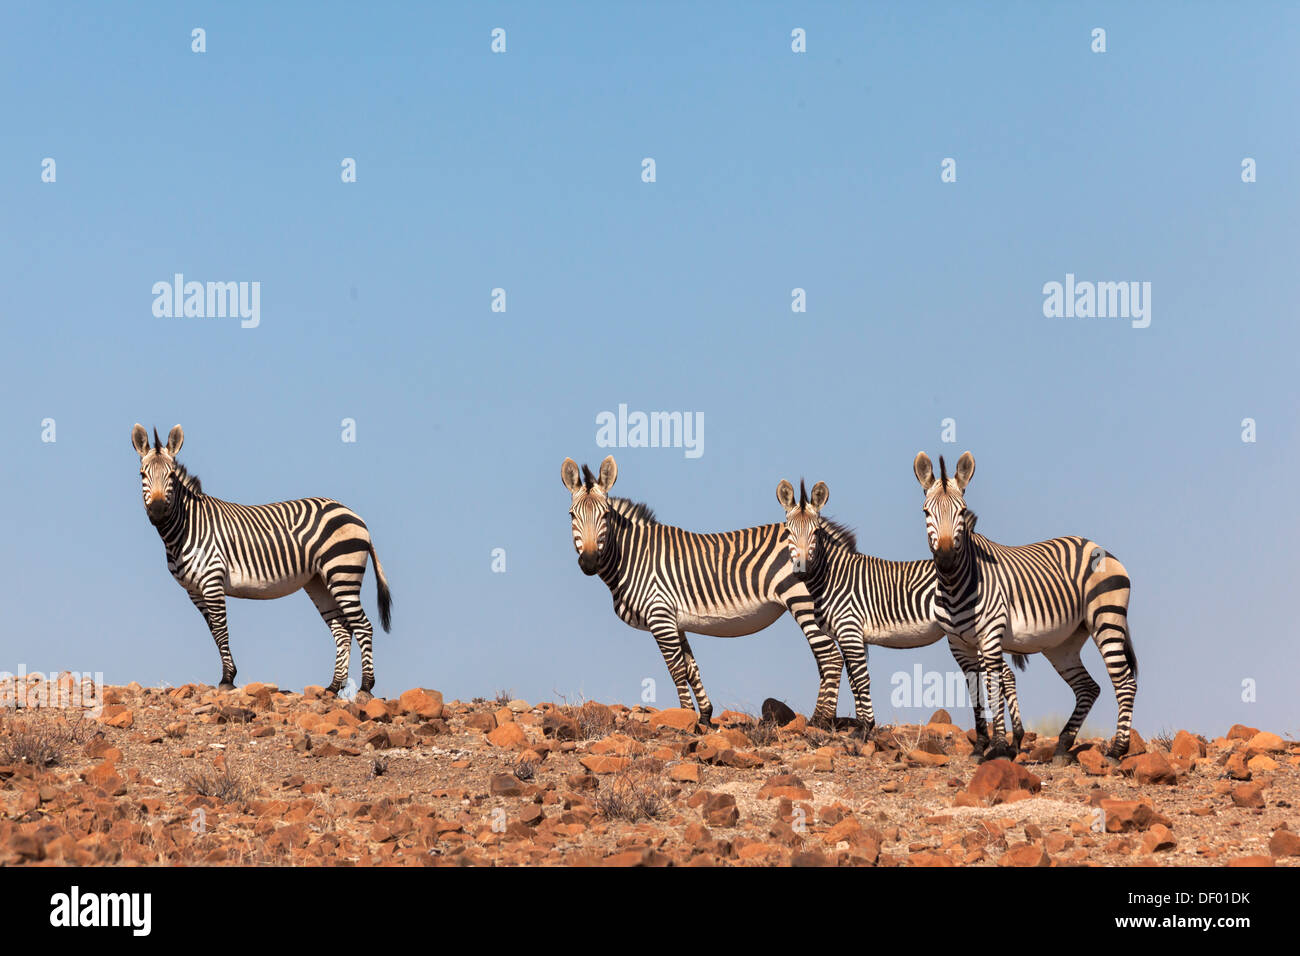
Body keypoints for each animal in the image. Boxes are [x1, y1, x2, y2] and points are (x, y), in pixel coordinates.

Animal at [132, 424, 392, 696]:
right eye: (142, 474)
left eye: (171, 476)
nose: (157, 511)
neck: (186, 527)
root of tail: (353, 514)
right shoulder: (193, 590)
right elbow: (214, 630)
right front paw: (229, 673)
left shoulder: (212, 581)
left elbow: (221, 630)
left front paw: (227, 678)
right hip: (320, 581)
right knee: (342, 630)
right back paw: (332, 687)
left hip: (342, 573)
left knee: (363, 626)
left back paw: (366, 686)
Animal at [562, 455, 847, 728]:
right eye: (572, 516)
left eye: (605, 516)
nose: (589, 561)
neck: (632, 556)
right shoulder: (674, 621)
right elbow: (691, 668)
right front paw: (705, 717)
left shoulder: (660, 615)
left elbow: (676, 669)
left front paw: (685, 715)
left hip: (802, 602)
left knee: (831, 658)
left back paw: (821, 720)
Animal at [778, 478, 1025, 756]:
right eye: (788, 532)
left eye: (817, 532)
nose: (801, 570)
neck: (834, 576)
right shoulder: (848, 637)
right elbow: (853, 680)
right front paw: (862, 727)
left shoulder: (850, 630)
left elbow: (862, 679)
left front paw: (865, 729)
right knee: (1006, 675)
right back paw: (1016, 739)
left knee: (1004, 675)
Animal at [914, 451, 1137, 761]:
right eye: (926, 512)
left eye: (962, 511)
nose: (946, 560)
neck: (955, 585)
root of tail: (1095, 545)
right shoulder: (958, 644)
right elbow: (975, 691)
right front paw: (981, 747)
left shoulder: (990, 638)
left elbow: (993, 687)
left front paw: (998, 747)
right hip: (1062, 644)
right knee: (1088, 687)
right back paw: (1063, 746)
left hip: (1107, 620)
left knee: (1125, 682)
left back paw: (1117, 751)